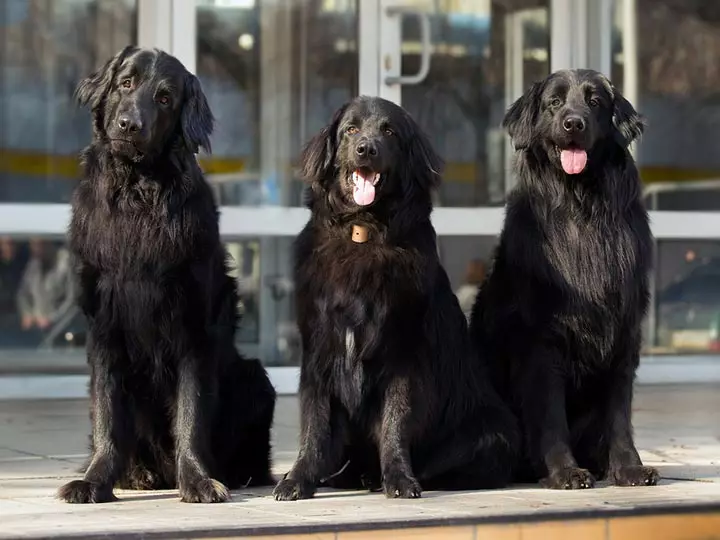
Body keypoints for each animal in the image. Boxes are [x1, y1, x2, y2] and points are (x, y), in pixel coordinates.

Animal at [55, 45, 276, 502]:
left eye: (165, 98)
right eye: (125, 83)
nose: (129, 124)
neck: (138, 193)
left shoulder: (194, 329)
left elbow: (190, 414)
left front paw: (197, 479)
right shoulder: (104, 329)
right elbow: (108, 417)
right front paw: (95, 481)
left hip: (255, 378)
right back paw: (137, 474)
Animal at [272, 97, 516, 502]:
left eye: (389, 131)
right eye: (351, 130)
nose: (365, 150)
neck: (363, 232)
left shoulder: (404, 353)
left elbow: (395, 422)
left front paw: (400, 479)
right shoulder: (320, 352)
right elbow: (314, 424)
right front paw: (298, 479)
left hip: (491, 432)